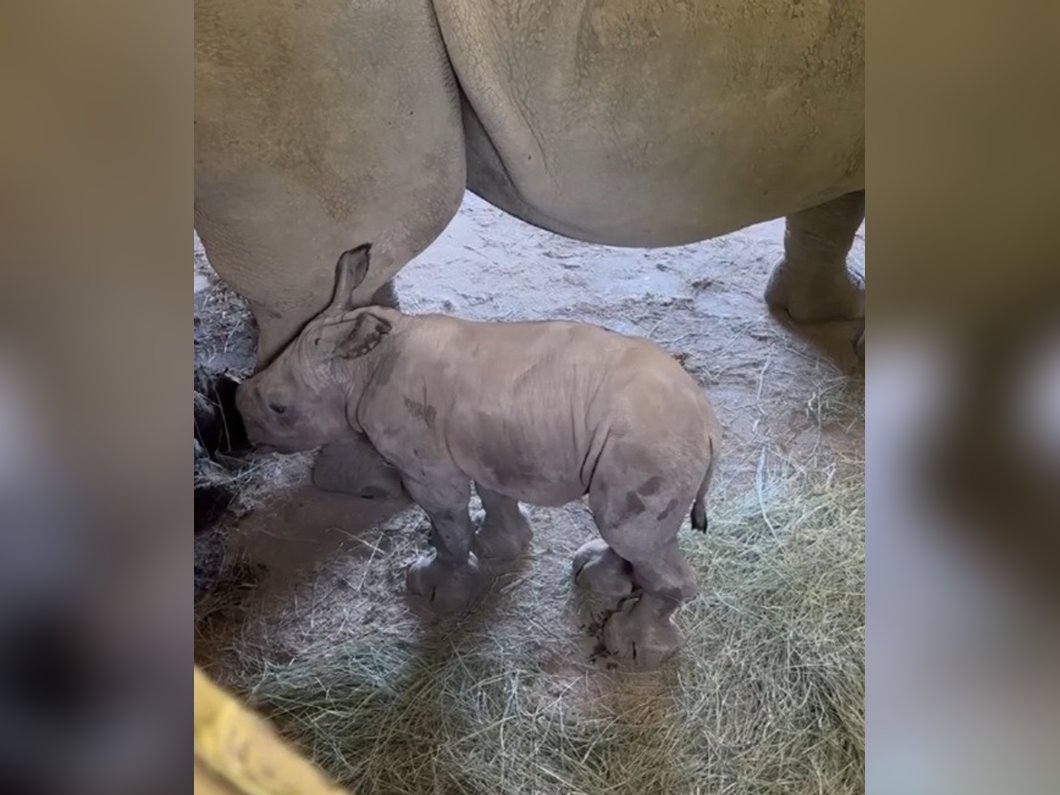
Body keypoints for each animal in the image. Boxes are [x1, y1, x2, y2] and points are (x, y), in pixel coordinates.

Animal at [237, 246, 722, 667]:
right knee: (630, 533)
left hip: (651, 447)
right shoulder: (488, 443)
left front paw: (435, 590)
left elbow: (449, 525)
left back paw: (632, 649)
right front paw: (498, 547)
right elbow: (494, 497)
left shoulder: (426, 466)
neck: (361, 366)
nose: (242, 423)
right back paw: (595, 578)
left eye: (279, 408)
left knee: (631, 531)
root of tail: (708, 423)